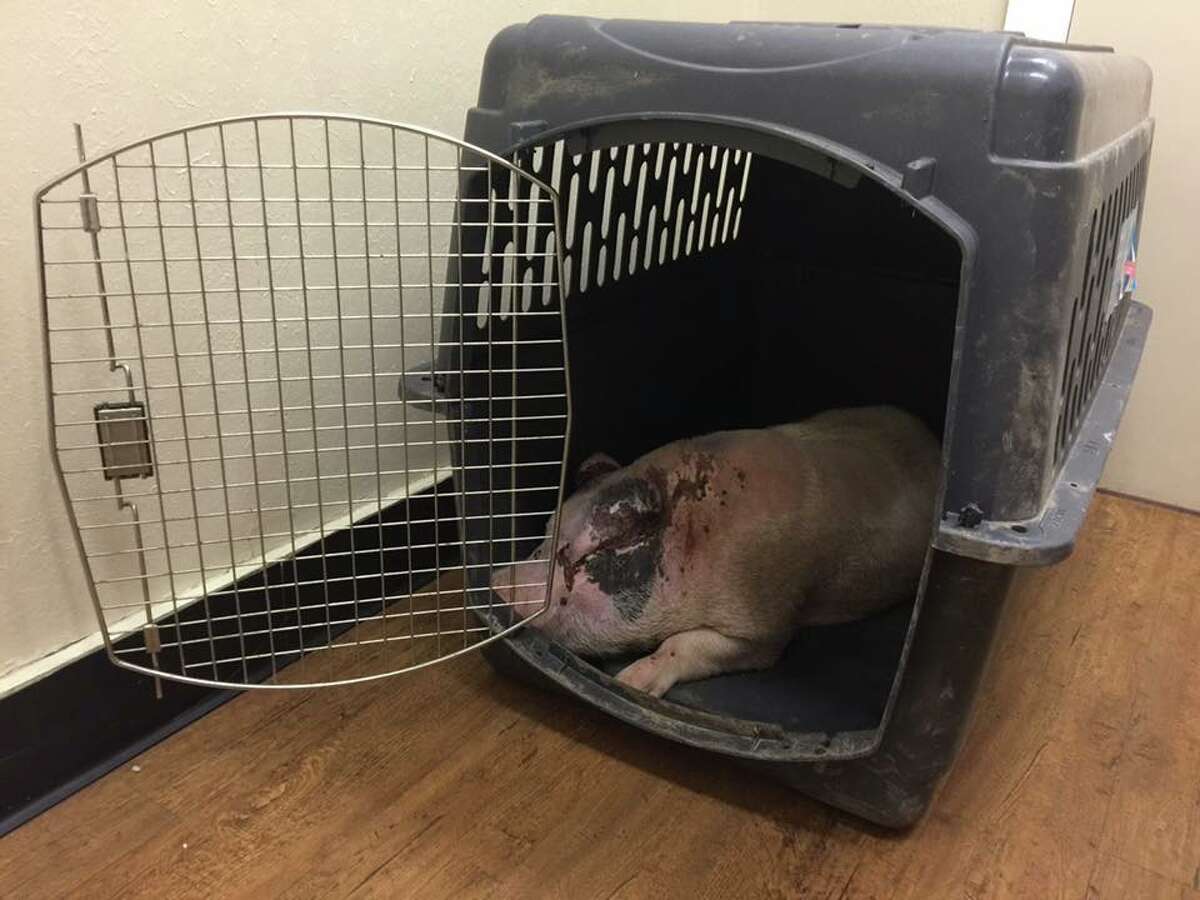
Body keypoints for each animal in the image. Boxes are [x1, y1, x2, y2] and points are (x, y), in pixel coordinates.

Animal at [490, 405, 941, 697]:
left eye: (581, 556)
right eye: (546, 535)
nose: (497, 582)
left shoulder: (763, 626)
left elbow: (686, 644)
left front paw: (629, 684)